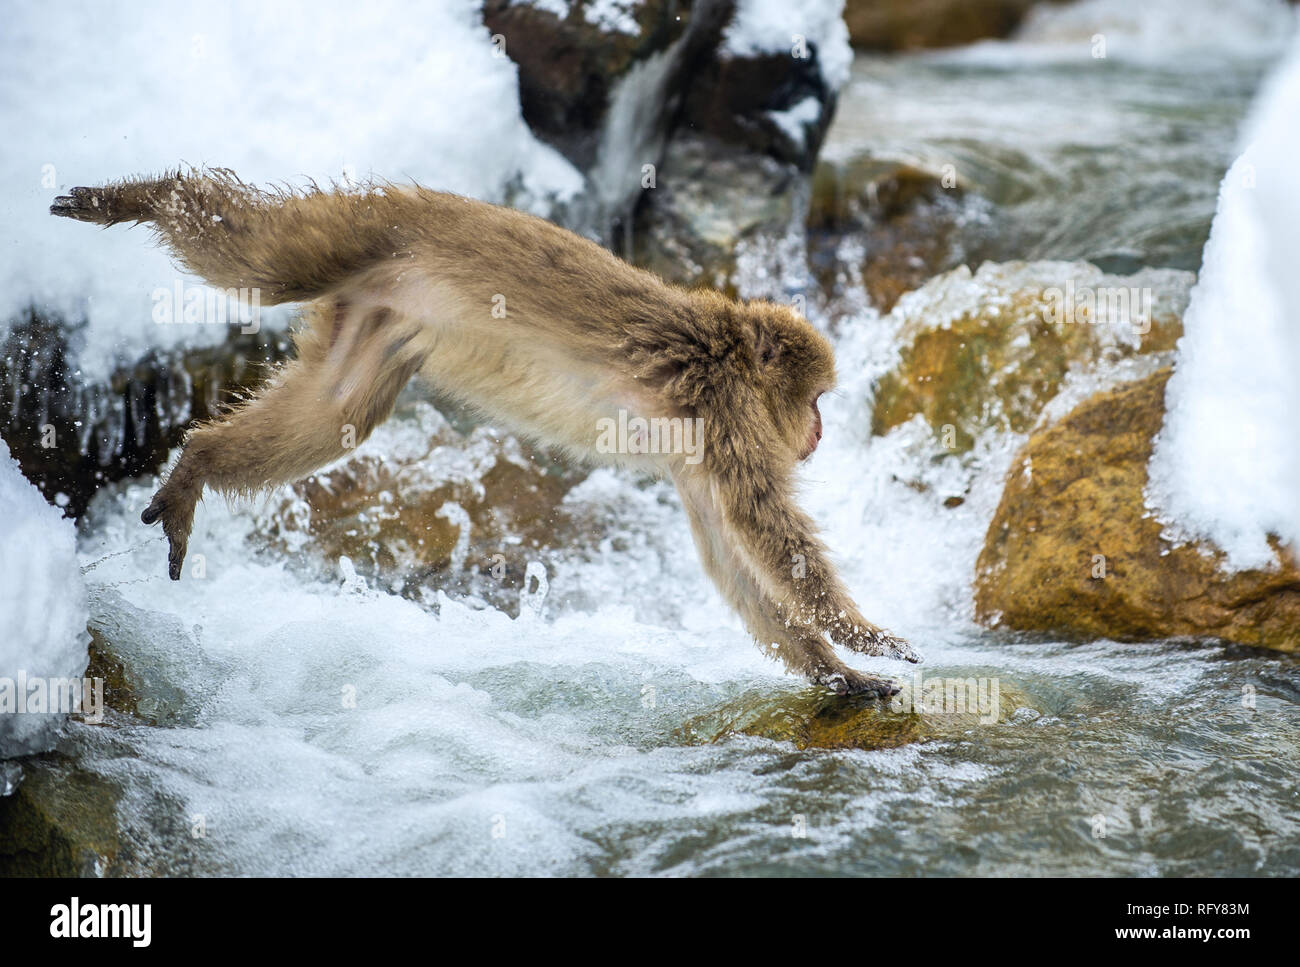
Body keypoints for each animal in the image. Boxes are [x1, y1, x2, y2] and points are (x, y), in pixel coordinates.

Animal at [51, 168, 920, 696]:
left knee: (334, 416)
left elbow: (738, 563)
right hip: (356, 231)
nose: (817, 430)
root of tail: (408, 200)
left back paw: (195, 463)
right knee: (259, 258)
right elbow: (769, 531)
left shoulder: (700, 463)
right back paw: (135, 197)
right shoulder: (731, 417)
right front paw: (864, 635)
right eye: (815, 398)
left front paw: (837, 672)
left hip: (373, 318)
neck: (731, 352)